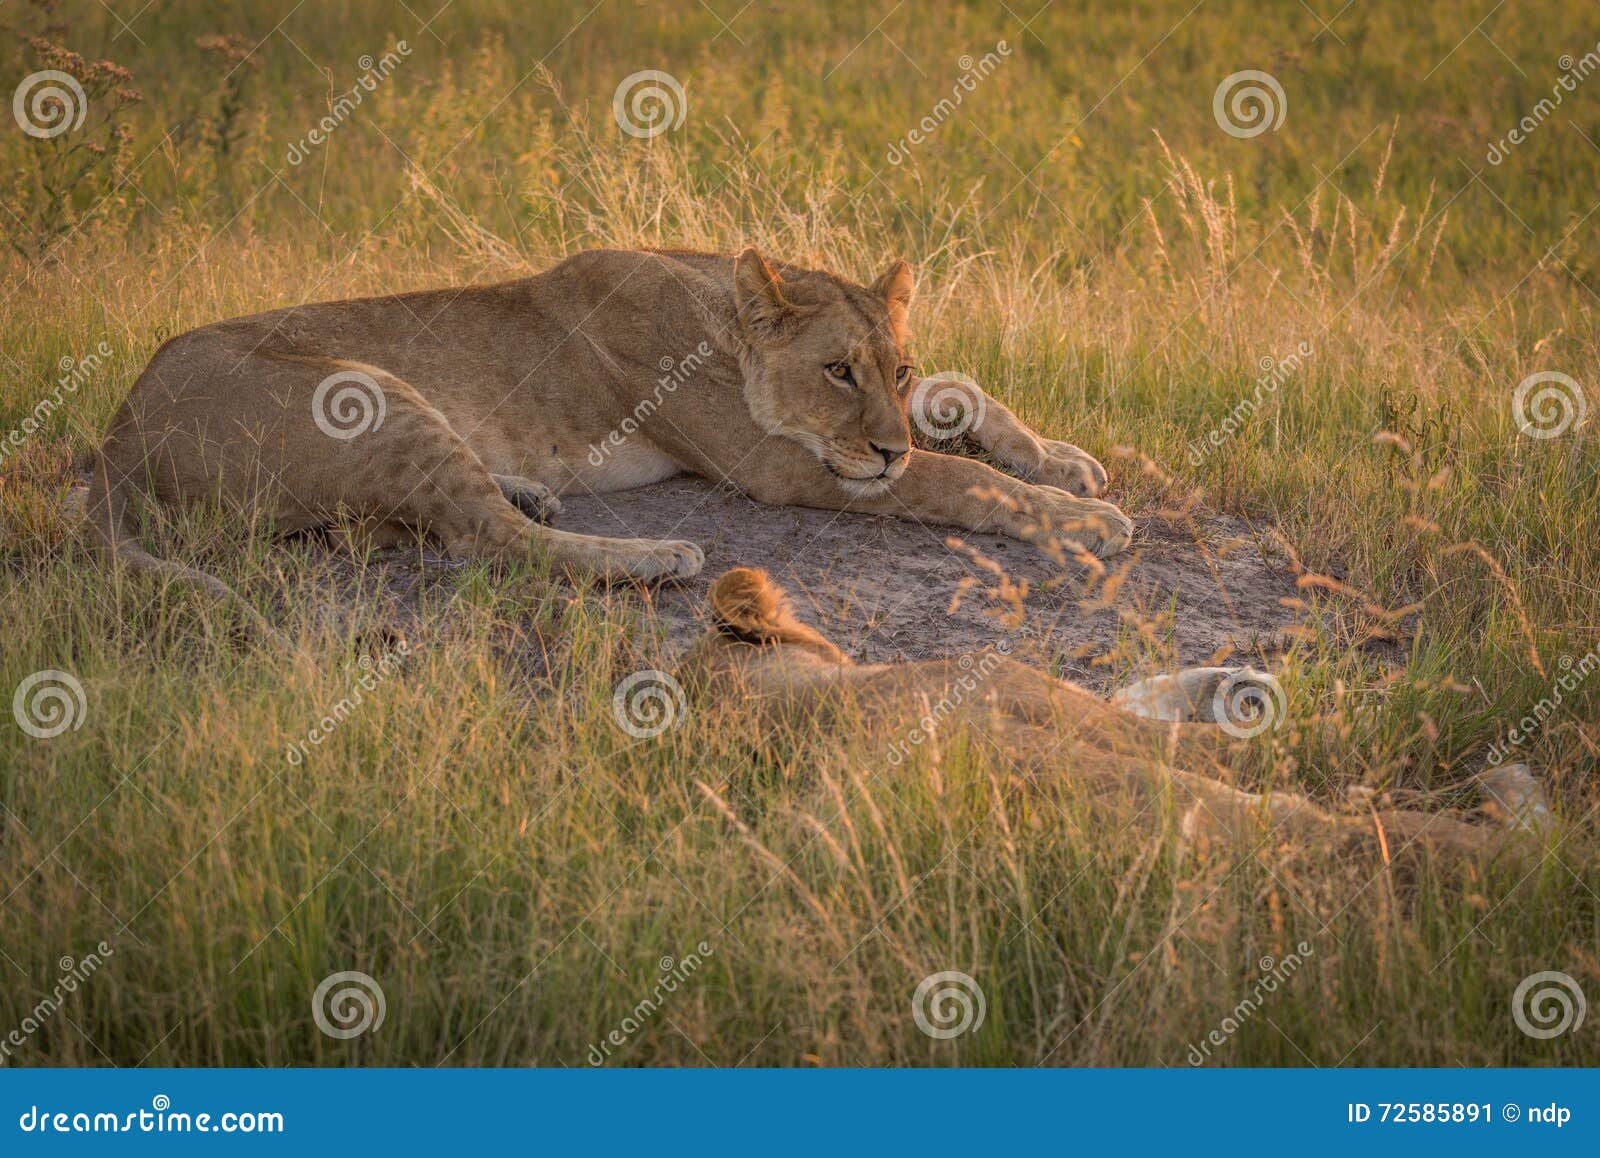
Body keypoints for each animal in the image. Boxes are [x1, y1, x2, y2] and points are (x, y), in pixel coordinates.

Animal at [87, 247, 1132, 606]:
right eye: (837, 372)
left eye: (895, 368)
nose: (885, 451)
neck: (722, 315)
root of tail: (118, 430)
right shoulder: (780, 466)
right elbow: (959, 480)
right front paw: (1083, 519)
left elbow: (967, 393)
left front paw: (1063, 459)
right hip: (369, 397)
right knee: (484, 541)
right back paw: (656, 557)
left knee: (432, 520)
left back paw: (533, 492)